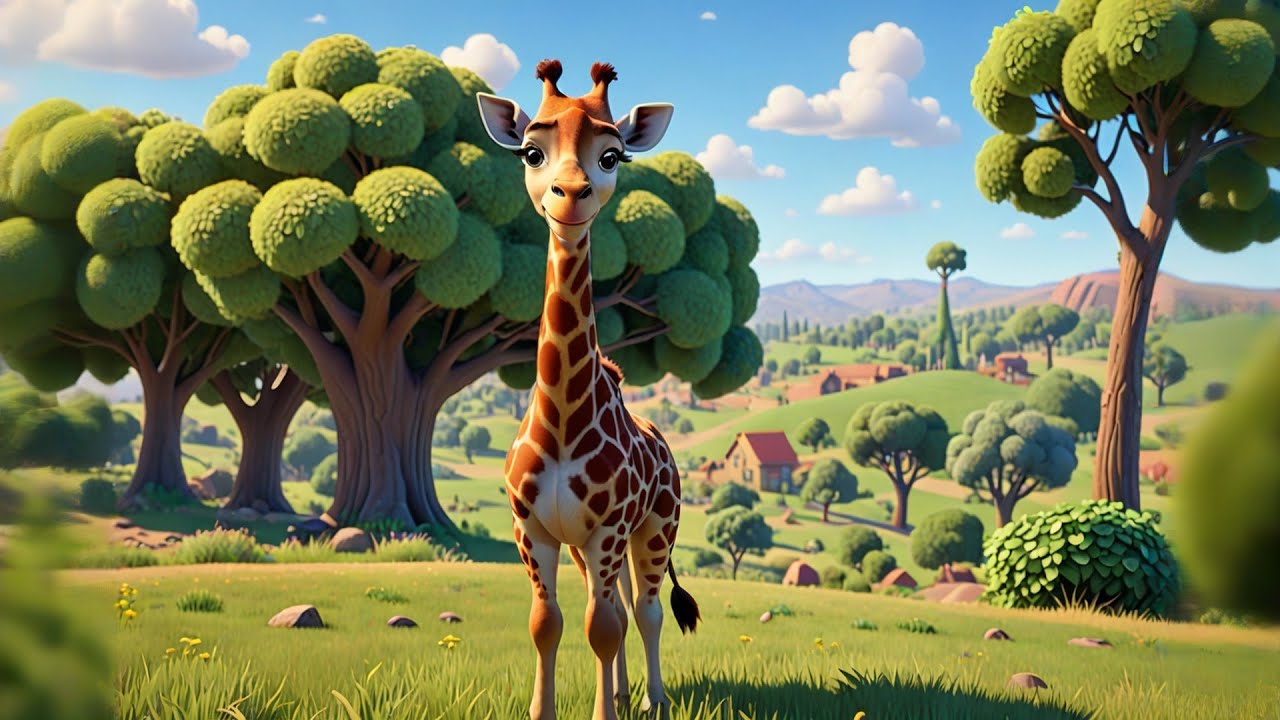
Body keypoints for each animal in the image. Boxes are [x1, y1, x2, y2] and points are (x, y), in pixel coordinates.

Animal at [477, 60, 699, 720]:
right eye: (531, 152)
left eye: (612, 155)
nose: (569, 196)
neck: (562, 417)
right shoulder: (535, 531)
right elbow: (547, 624)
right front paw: (545, 710)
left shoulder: (607, 527)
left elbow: (603, 627)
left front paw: (611, 710)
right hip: (594, 546)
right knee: (621, 604)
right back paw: (624, 691)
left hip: (655, 526)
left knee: (645, 611)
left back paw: (652, 699)